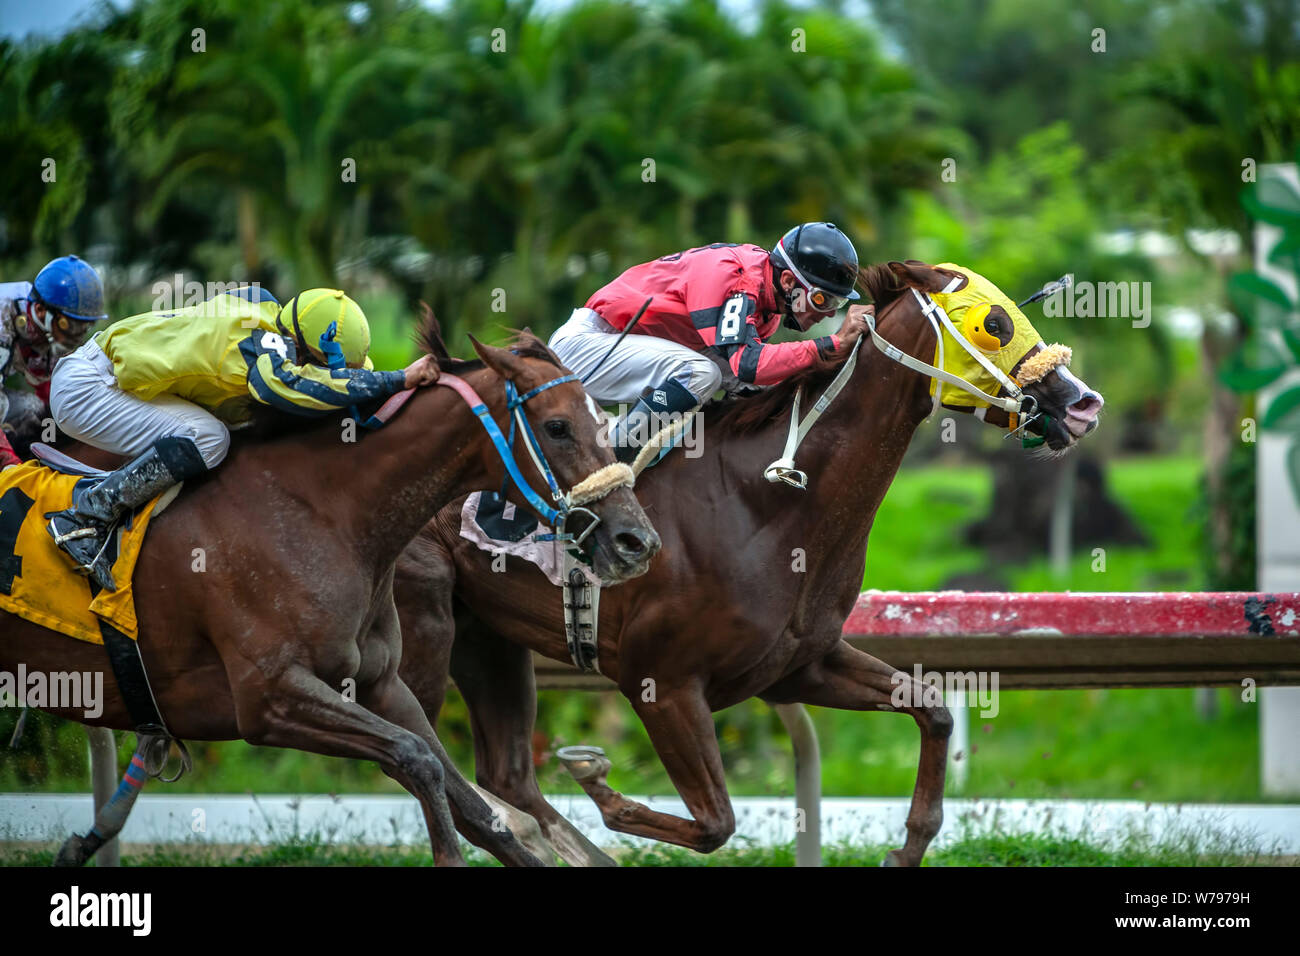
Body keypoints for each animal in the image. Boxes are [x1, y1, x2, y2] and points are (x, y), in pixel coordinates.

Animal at [0, 318, 660, 867]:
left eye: (601, 421)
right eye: (557, 426)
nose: (638, 541)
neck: (324, 513)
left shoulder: (380, 684)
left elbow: (476, 808)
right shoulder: (269, 698)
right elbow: (418, 761)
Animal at [392, 260, 1106, 866]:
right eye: (995, 323)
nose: (1084, 403)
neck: (767, 499)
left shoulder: (799, 665)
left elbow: (933, 709)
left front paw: (905, 848)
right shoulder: (663, 682)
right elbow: (713, 823)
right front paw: (596, 779)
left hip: (489, 636)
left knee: (503, 774)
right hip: (422, 617)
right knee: (427, 748)